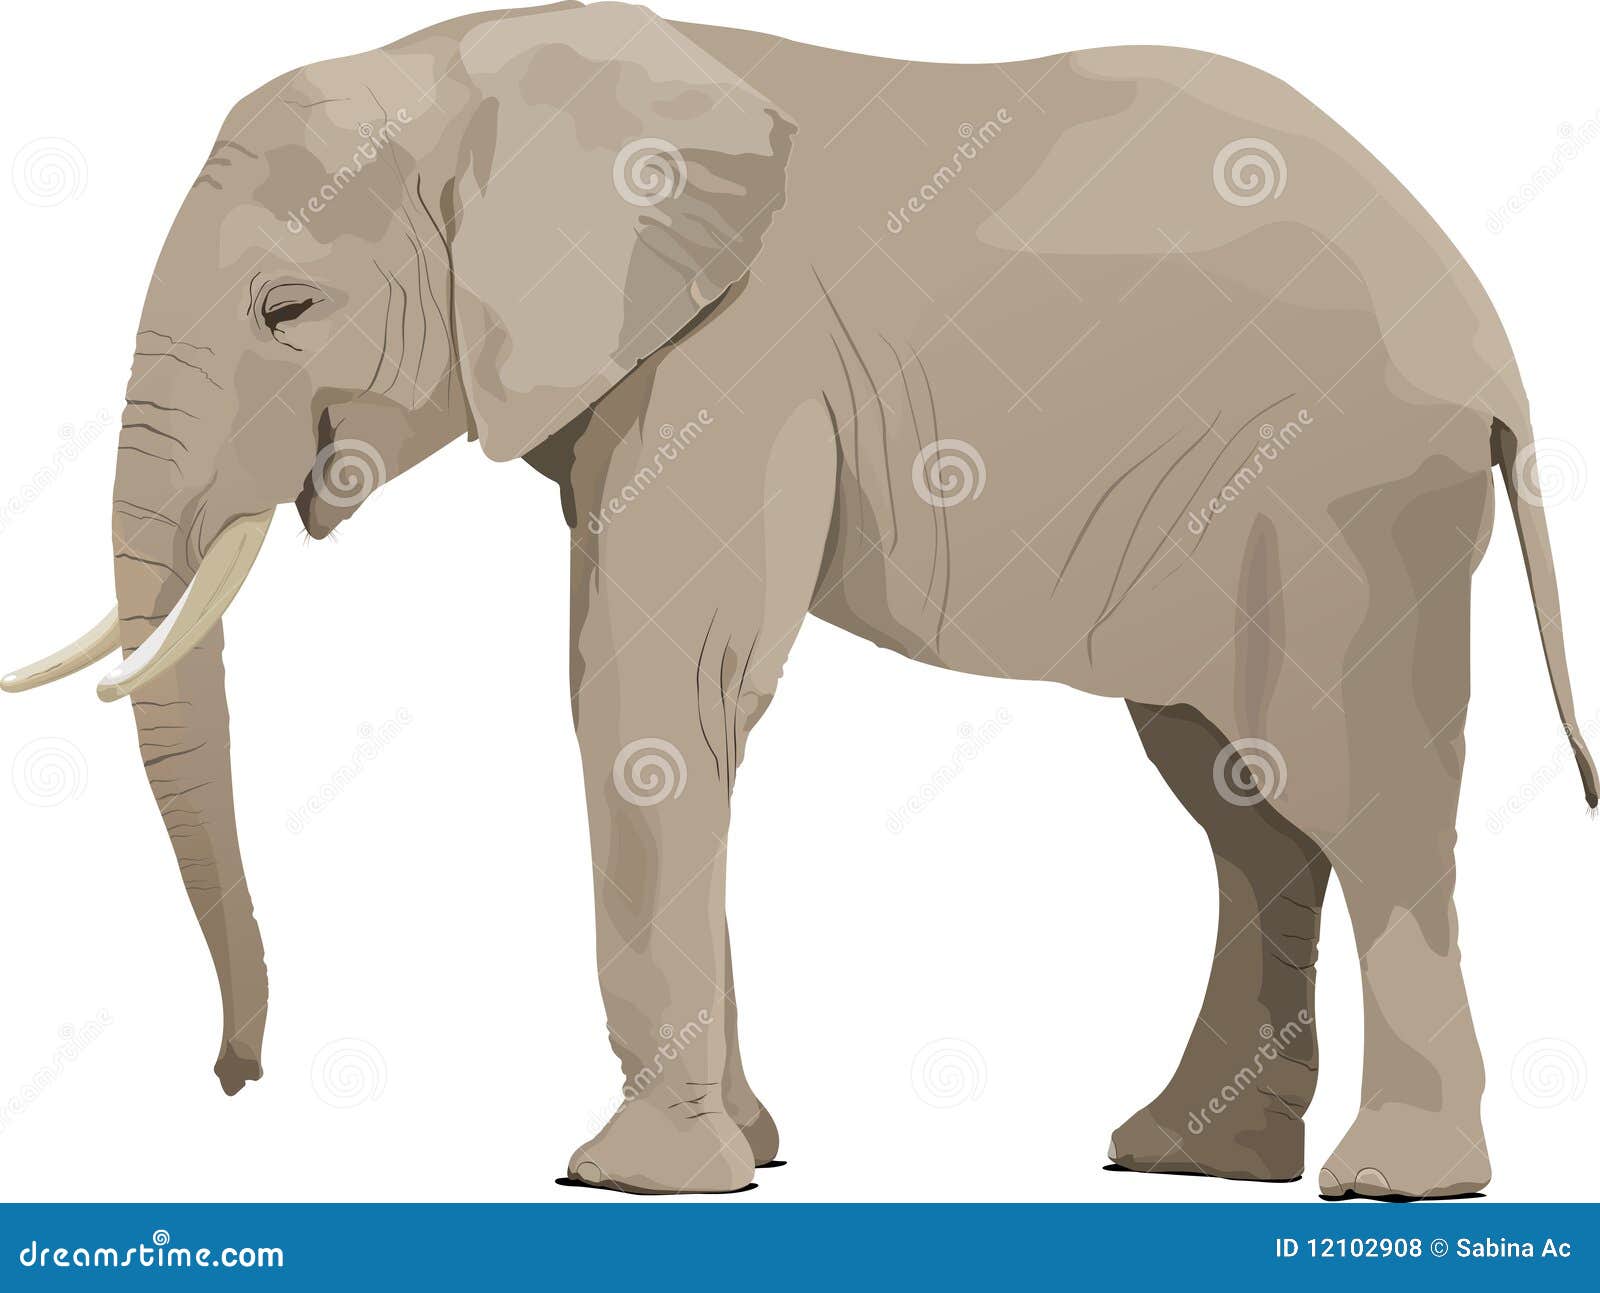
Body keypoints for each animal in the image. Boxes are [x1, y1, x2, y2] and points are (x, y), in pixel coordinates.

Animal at [3, 1, 1592, 1200]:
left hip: (1346, 499)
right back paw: (1180, 1160)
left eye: (288, 311)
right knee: (1245, 803)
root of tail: (1499, 354)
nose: (234, 1078)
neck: (476, 68)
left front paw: (630, 1181)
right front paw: (754, 1153)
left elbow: (651, 693)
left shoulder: (735, 358)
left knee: (1360, 788)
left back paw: (1392, 1188)